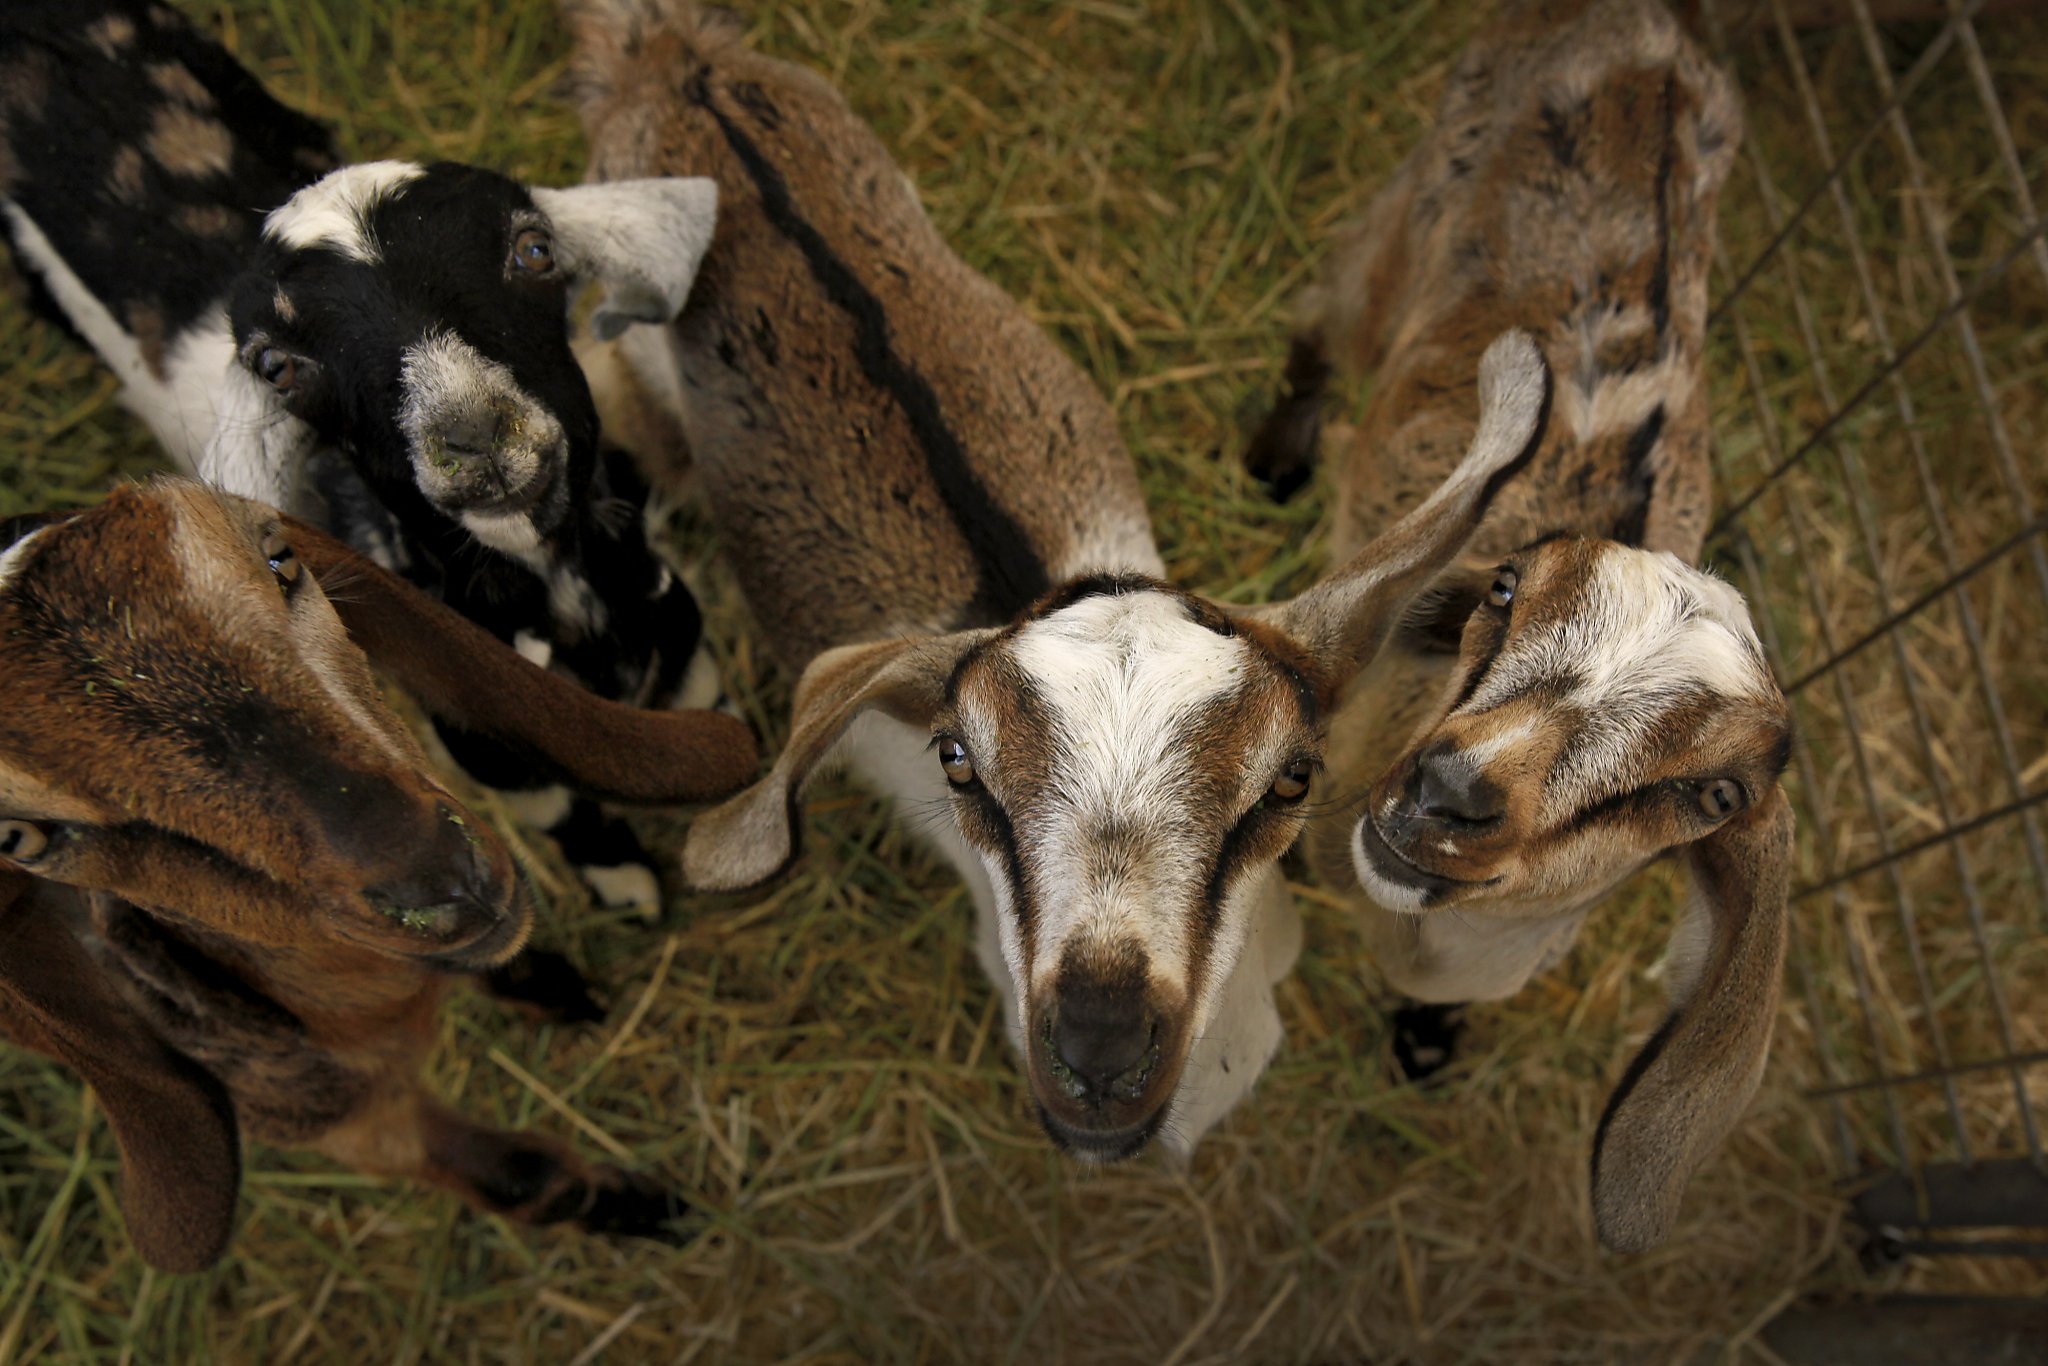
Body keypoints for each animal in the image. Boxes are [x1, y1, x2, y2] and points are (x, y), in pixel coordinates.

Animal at [0, 0, 721, 907]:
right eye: (276, 364)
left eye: (535, 250)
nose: (473, 436)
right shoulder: (489, 751)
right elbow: (570, 819)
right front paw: (627, 884)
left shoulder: (683, 645)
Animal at [0, 478, 758, 1272]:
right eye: (19, 837)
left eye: (281, 557)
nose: (442, 877)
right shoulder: (321, 1116)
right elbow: (519, 1177)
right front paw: (636, 1208)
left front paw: (551, 988)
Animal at [1243, 0, 1791, 1252]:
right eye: (1503, 593)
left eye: (1712, 792)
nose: (1448, 787)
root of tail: (1657, 29)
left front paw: (1422, 1044)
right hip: (1413, 201)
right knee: (1327, 314)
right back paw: (1279, 452)